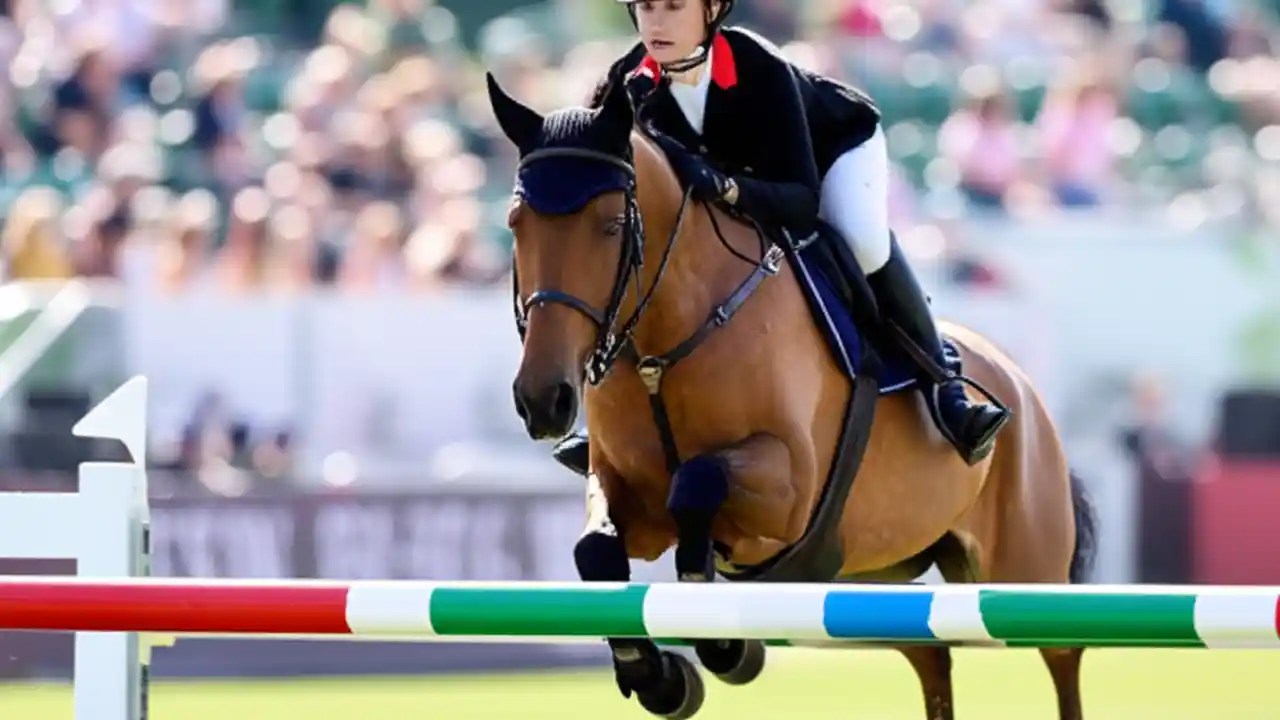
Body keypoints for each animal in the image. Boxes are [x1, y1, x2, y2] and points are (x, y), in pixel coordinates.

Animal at [486, 70, 1097, 720]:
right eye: (516, 223)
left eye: (611, 225)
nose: (543, 399)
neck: (665, 344)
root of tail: (1021, 385)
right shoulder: (627, 492)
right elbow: (596, 551)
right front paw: (660, 677)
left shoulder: (789, 487)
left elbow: (697, 482)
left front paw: (723, 641)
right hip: (871, 575)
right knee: (928, 654)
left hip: (1027, 570)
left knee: (1063, 658)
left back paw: (967, 413)